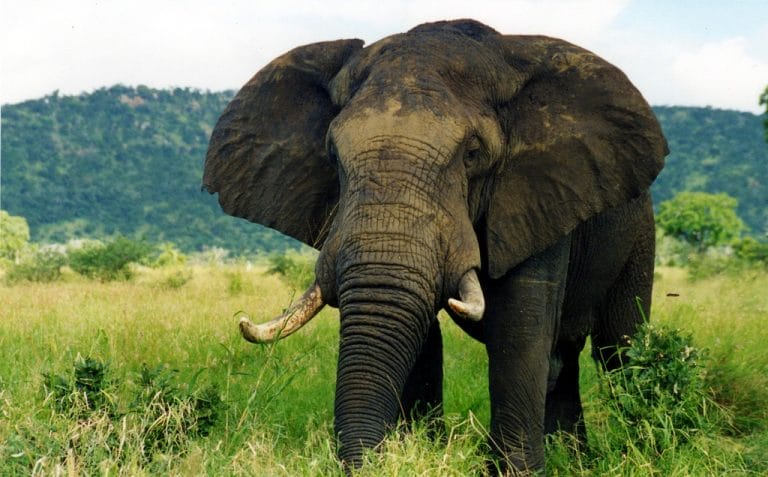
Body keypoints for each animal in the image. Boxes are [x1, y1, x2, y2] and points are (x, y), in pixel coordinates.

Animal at [203, 19, 667, 473]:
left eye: (473, 154)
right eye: (332, 156)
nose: (369, 460)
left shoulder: (537, 192)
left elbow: (520, 326)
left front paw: (512, 471)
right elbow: (418, 331)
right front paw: (417, 452)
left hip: (639, 234)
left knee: (618, 347)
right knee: (565, 361)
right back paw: (576, 460)